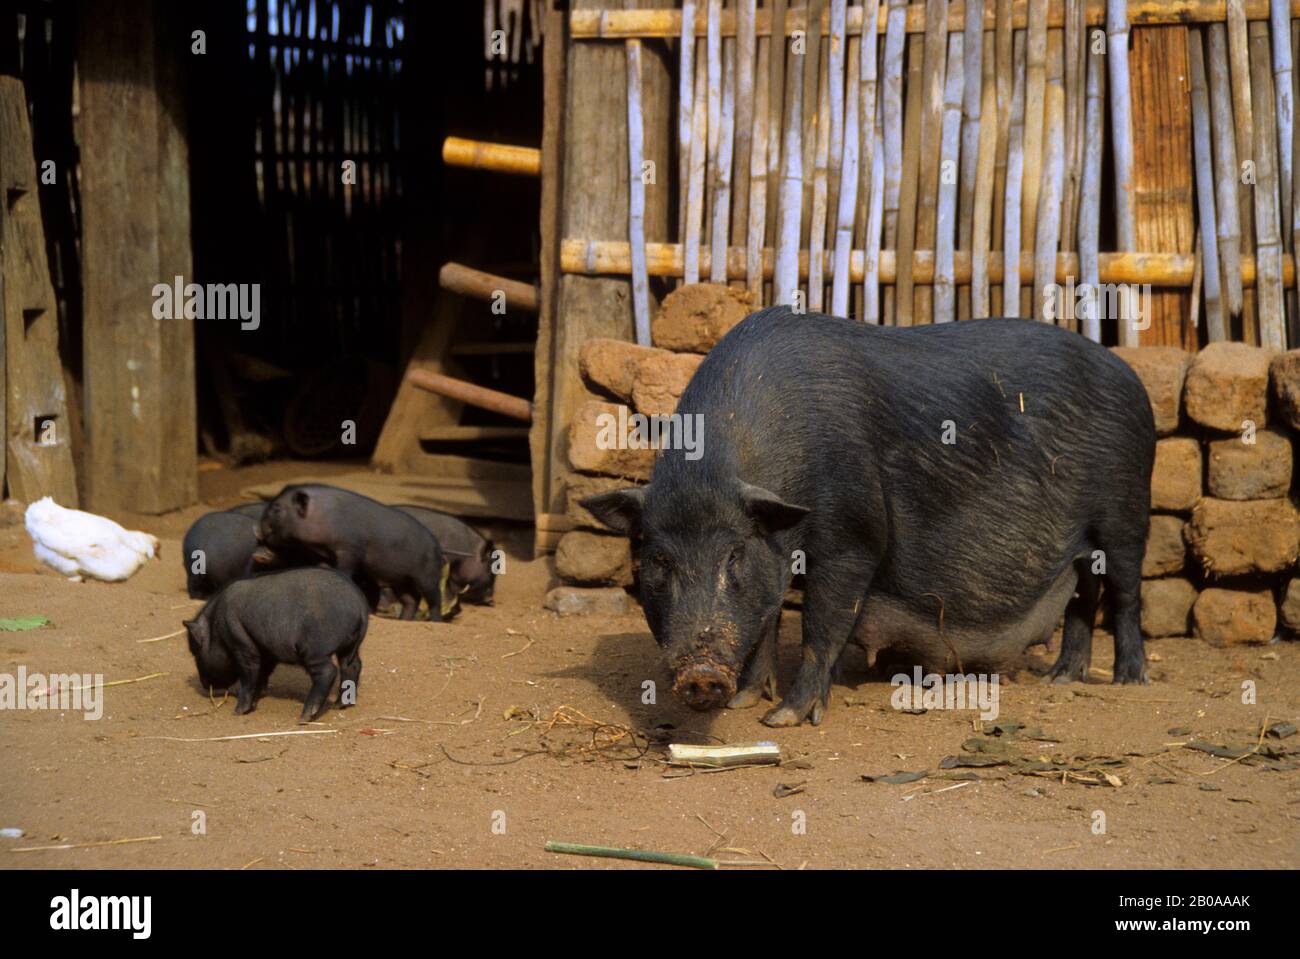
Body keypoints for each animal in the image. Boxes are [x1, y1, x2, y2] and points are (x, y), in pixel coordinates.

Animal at [183, 567, 369, 722]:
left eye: (195, 652)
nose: (204, 685)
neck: (215, 626)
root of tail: (359, 605)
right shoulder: (267, 651)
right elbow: (262, 673)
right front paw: (257, 699)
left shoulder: (241, 643)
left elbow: (249, 674)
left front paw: (238, 711)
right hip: (349, 646)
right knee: (352, 665)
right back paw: (340, 705)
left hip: (314, 648)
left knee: (328, 672)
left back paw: (304, 717)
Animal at [257, 484, 445, 621]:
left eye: (277, 509)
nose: (257, 530)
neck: (323, 515)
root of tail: (438, 548)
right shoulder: (326, 554)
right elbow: (323, 566)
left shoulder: (350, 549)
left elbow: (345, 569)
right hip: (400, 580)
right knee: (412, 599)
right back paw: (403, 620)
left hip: (428, 576)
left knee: (434, 598)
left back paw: (434, 621)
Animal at [582, 308, 1155, 727]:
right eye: (658, 560)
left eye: (734, 554)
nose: (702, 675)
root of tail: (1130, 375)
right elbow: (767, 616)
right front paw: (747, 700)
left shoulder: (855, 534)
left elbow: (820, 622)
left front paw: (783, 719)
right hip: (1084, 545)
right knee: (1084, 597)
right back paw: (1060, 678)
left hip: (1127, 515)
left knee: (1125, 594)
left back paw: (1128, 681)